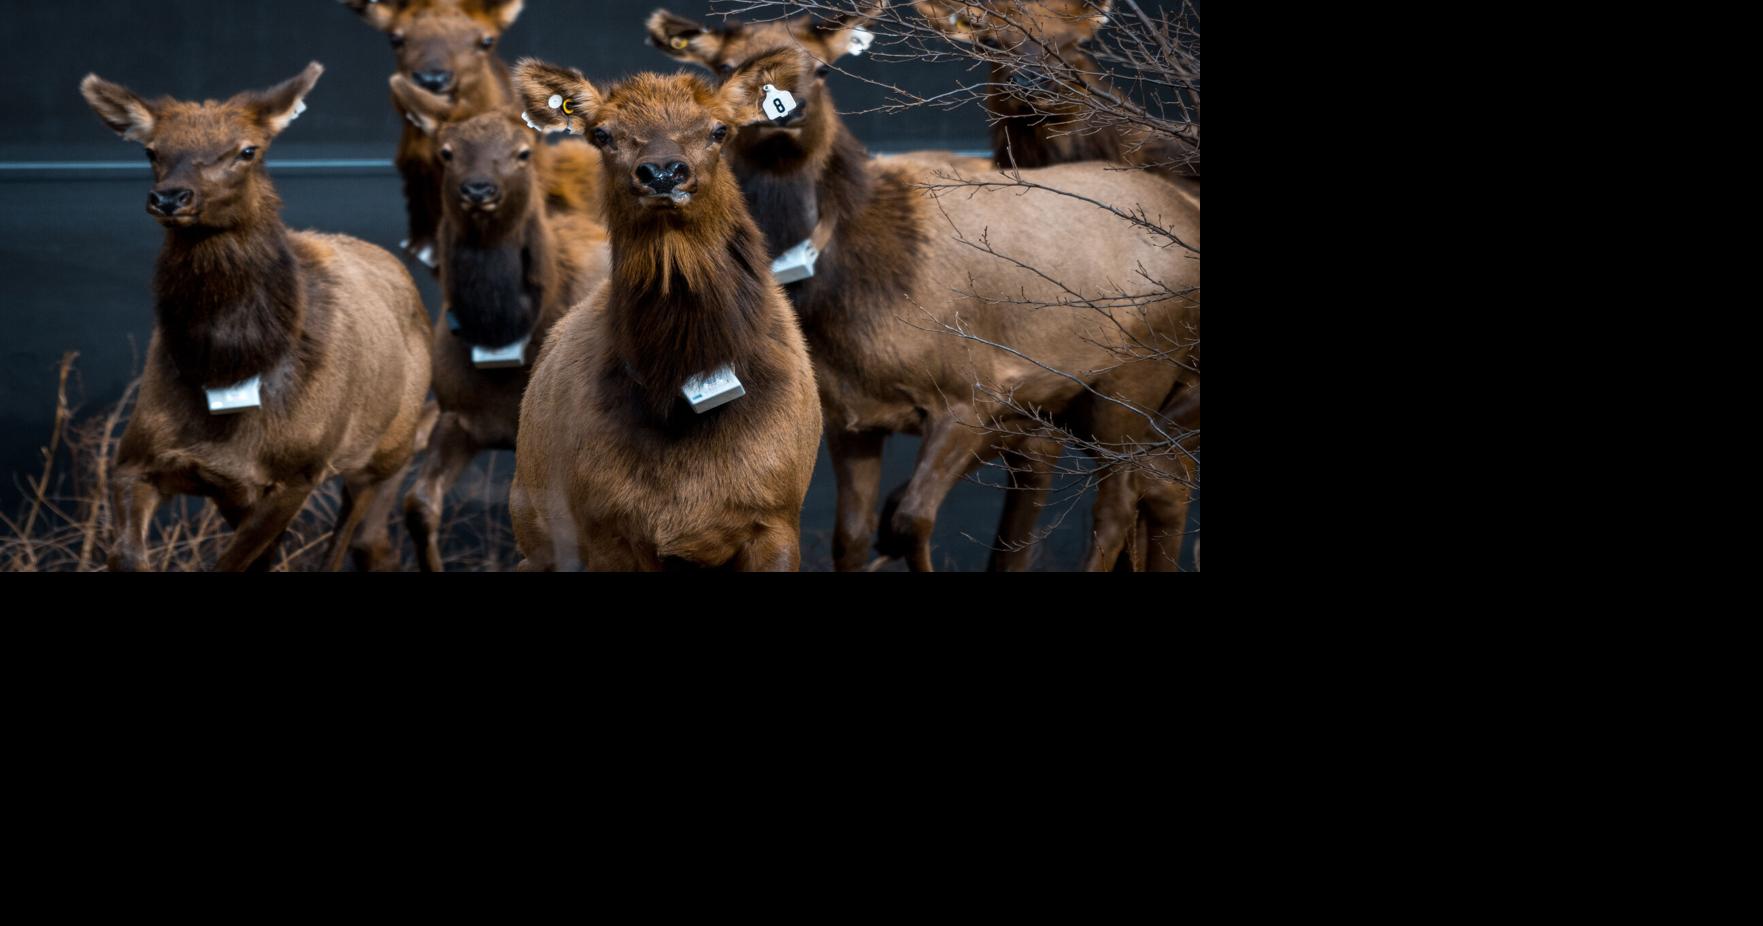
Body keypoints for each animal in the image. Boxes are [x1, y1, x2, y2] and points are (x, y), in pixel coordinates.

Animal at [80, 63, 434, 571]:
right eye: (152, 150)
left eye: (248, 150)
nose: (170, 198)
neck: (229, 373)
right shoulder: (137, 460)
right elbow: (127, 555)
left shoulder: (299, 473)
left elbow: (232, 564)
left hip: (386, 449)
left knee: (357, 528)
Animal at [506, 60, 824, 571]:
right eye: (601, 134)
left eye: (720, 130)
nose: (662, 172)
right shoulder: (606, 525)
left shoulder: (777, 514)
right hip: (535, 533)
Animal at [645, 6, 1199, 572]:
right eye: (726, 69)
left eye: (822, 69)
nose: (784, 109)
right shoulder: (851, 419)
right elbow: (853, 536)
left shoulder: (974, 393)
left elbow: (911, 520)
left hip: (1132, 382)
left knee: (1120, 501)